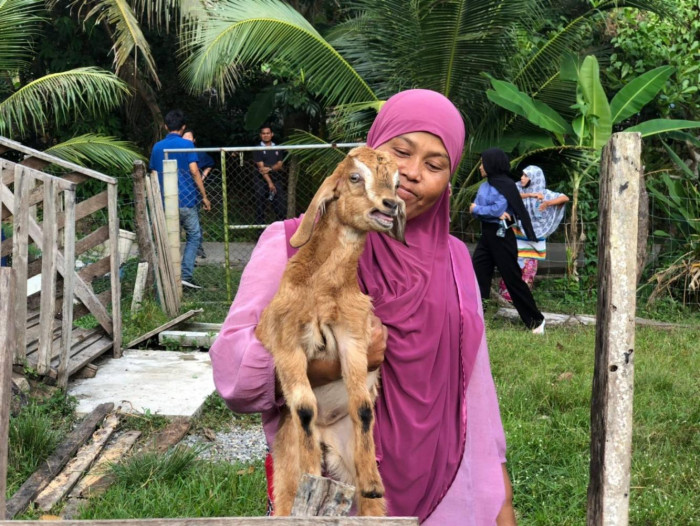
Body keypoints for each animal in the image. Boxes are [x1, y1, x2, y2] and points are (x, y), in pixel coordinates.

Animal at [255, 146, 405, 516]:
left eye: (397, 183)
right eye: (354, 177)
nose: (390, 204)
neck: (322, 291)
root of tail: (327, 439)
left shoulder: (353, 337)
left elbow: (363, 406)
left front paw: (372, 483)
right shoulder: (286, 340)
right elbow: (305, 405)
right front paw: (310, 470)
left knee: (371, 507)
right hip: (284, 465)